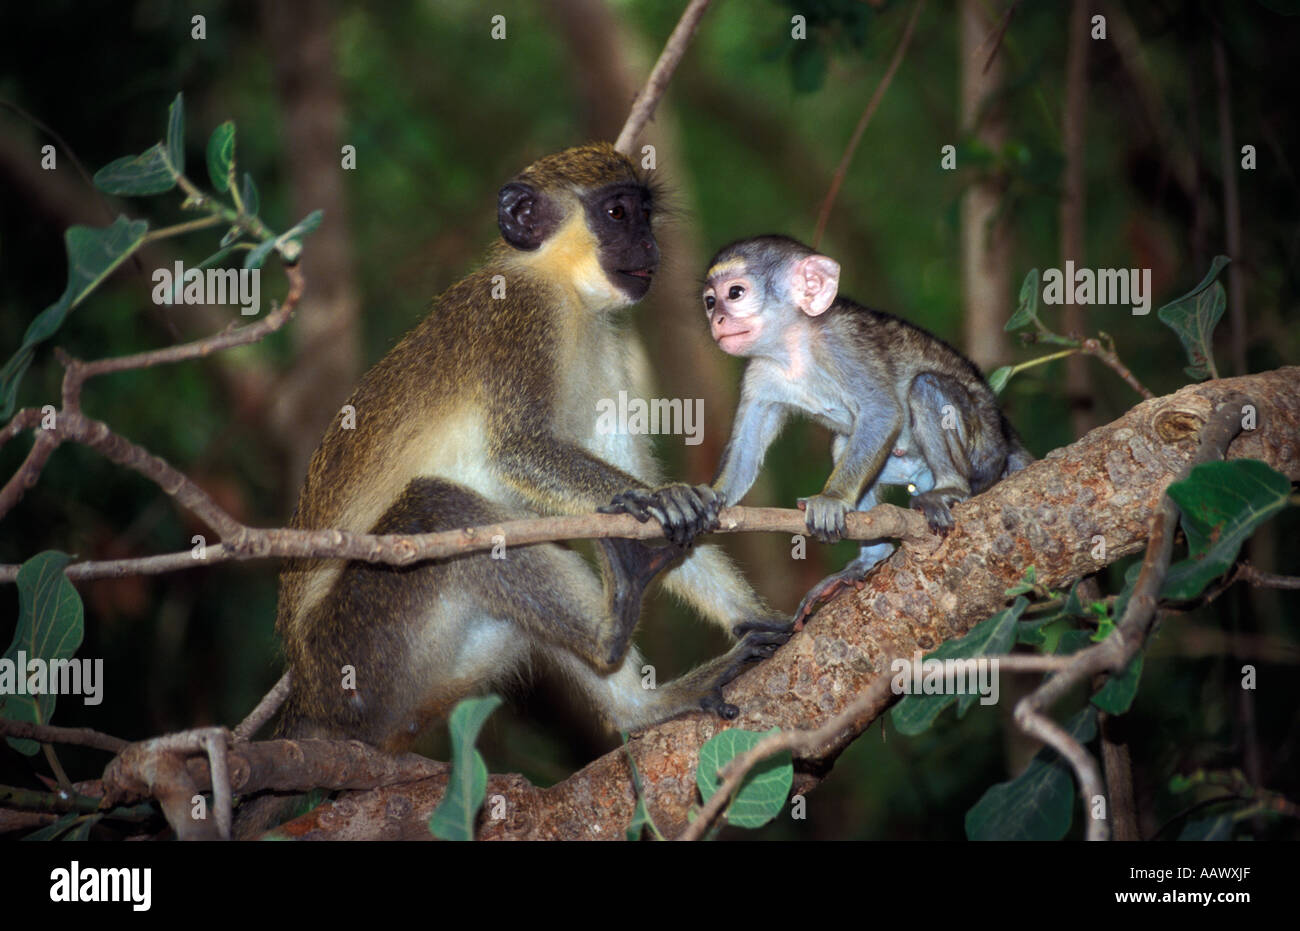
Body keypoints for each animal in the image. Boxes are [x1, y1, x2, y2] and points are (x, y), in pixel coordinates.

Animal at [237, 146, 791, 834]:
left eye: (645, 213)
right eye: (618, 212)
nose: (651, 244)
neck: (564, 290)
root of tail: (309, 701)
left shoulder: (608, 351)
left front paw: (756, 613)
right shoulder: (518, 316)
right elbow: (519, 452)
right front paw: (670, 503)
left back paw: (640, 708)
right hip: (355, 650)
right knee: (436, 510)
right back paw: (607, 635)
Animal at [646, 235, 1033, 627]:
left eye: (735, 293)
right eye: (710, 301)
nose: (718, 319)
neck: (794, 347)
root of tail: (1005, 437)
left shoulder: (841, 344)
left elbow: (882, 411)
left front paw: (832, 499)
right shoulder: (760, 373)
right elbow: (746, 456)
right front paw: (704, 496)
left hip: (982, 452)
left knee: (925, 387)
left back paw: (951, 488)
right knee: (843, 442)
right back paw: (871, 556)